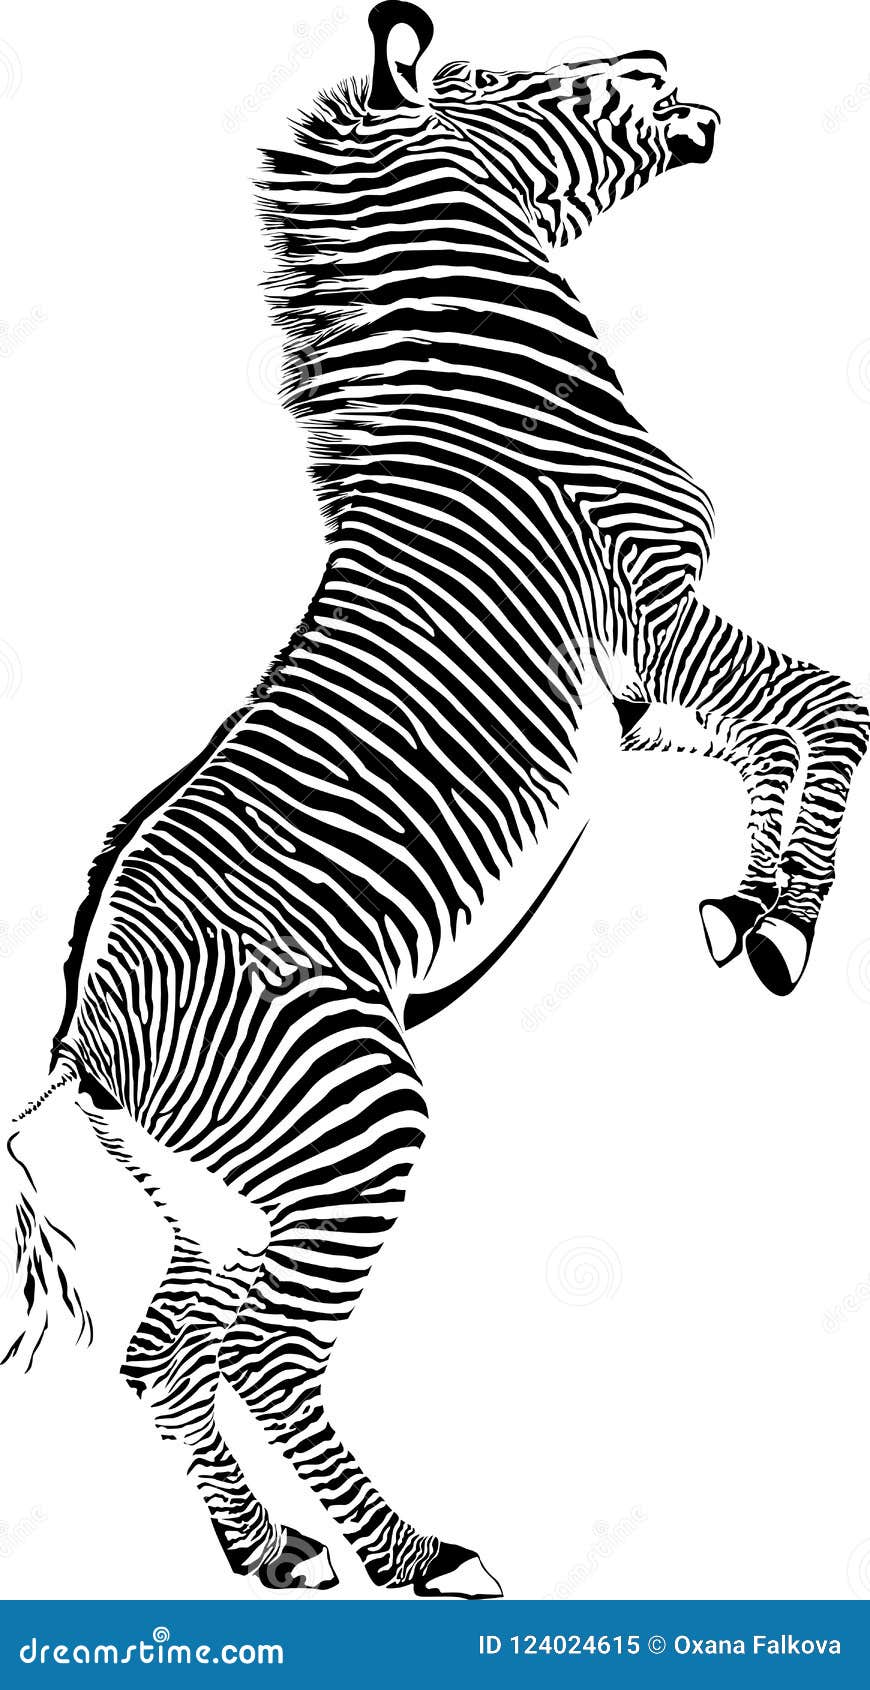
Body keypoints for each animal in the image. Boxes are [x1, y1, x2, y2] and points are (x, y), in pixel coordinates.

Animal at [5, 2, 869, 1600]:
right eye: (528, 86)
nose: (673, 66)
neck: (496, 398)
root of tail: (80, 1040)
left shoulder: (634, 706)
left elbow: (780, 732)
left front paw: (751, 900)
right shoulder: (650, 613)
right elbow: (834, 700)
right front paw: (784, 917)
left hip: (217, 1196)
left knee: (168, 1347)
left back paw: (273, 1549)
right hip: (355, 1114)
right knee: (265, 1350)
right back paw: (415, 1554)